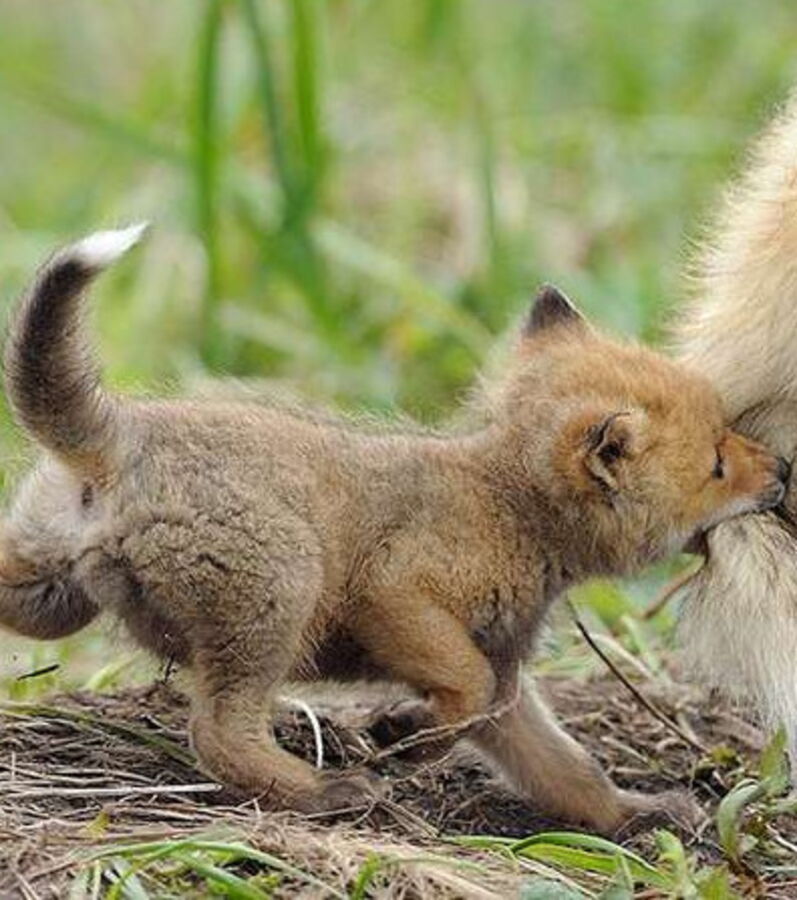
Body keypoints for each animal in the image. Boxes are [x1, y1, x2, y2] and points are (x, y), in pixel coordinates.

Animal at [0, 226, 787, 832]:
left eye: (727, 432)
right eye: (717, 464)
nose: (782, 468)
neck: (507, 507)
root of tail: (120, 433)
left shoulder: (506, 683)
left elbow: (566, 769)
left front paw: (634, 814)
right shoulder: (396, 596)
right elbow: (462, 690)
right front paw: (401, 739)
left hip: (47, 598)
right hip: (277, 597)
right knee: (219, 734)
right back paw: (326, 793)